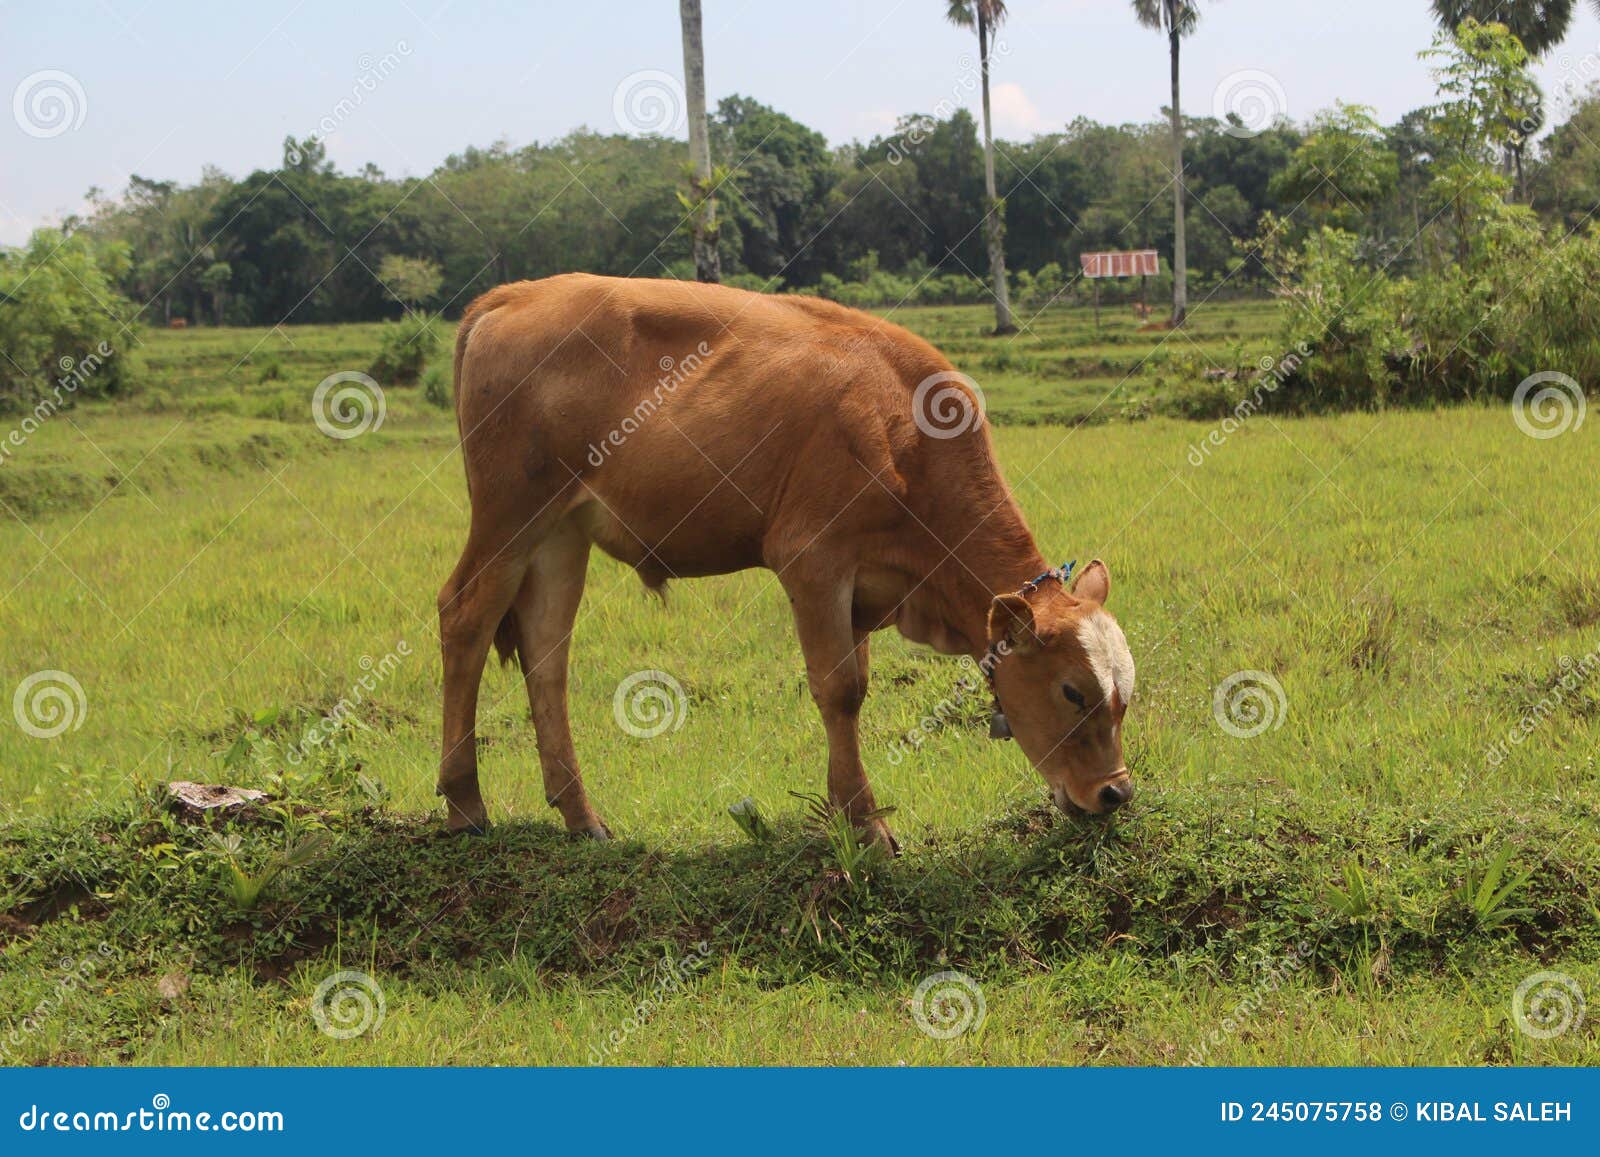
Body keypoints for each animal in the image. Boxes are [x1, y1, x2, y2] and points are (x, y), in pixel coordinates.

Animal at [437, 274, 1135, 847]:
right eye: (1073, 692)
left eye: (1124, 695)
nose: (1115, 793)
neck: (903, 435)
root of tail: (513, 296)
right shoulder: (813, 559)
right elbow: (840, 690)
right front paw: (865, 824)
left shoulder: (864, 590)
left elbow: (856, 684)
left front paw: (844, 811)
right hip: (510, 514)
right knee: (464, 616)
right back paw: (466, 804)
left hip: (561, 531)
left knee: (546, 652)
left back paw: (581, 815)